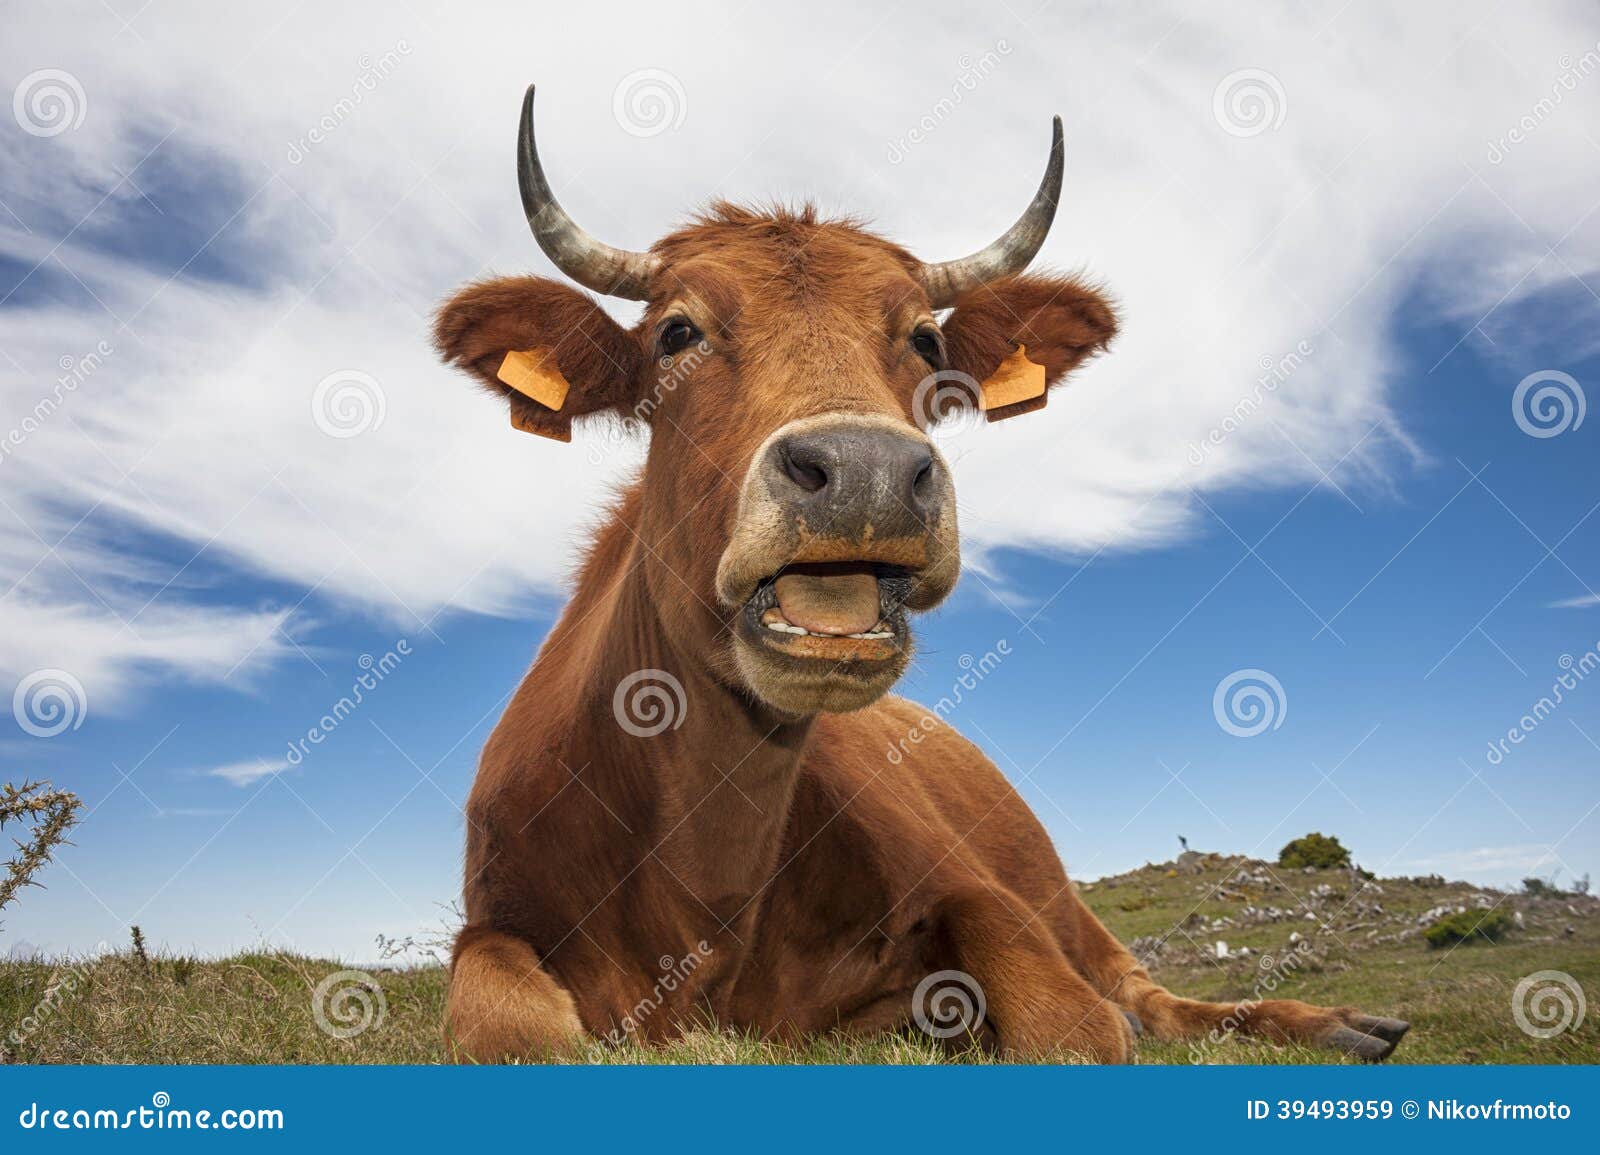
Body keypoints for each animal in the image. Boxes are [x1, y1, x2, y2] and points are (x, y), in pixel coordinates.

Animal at [430, 85, 1410, 1063]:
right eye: (677, 332)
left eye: (928, 339)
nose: (864, 471)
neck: (704, 892)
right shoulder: (492, 923)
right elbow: (510, 1023)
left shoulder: (977, 890)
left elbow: (1075, 1026)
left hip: (1070, 903)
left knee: (1154, 997)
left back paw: (1336, 1021)